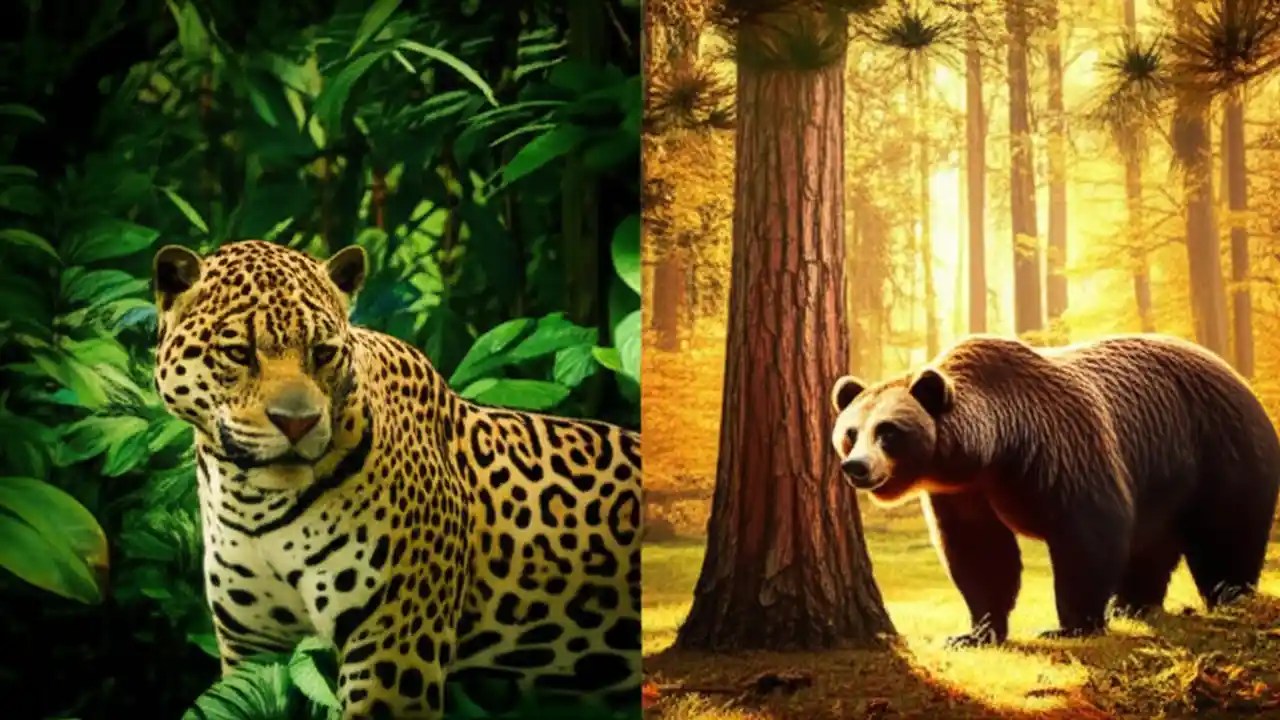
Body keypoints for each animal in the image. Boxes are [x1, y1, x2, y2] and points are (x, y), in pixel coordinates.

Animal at [151, 240, 642, 720]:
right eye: (238, 353)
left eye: (322, 353)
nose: (298, 422)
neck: (252, 500)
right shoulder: (253, 649)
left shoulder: (395, 648)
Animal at [828, 333, 1280, 646]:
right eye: (851, 432)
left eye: (887, 431)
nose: (857, 467)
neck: (995, 452)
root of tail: (1236, 375)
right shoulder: (965, 493)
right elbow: (979, 553)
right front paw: (975, 632)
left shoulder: (1063, 452)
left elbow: (1090, 536)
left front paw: (1069, 627)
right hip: (1164, 483)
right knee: (1151, 548)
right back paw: (1132, 606)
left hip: (1219, 450)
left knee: (1226, 534)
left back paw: (1229, 597)